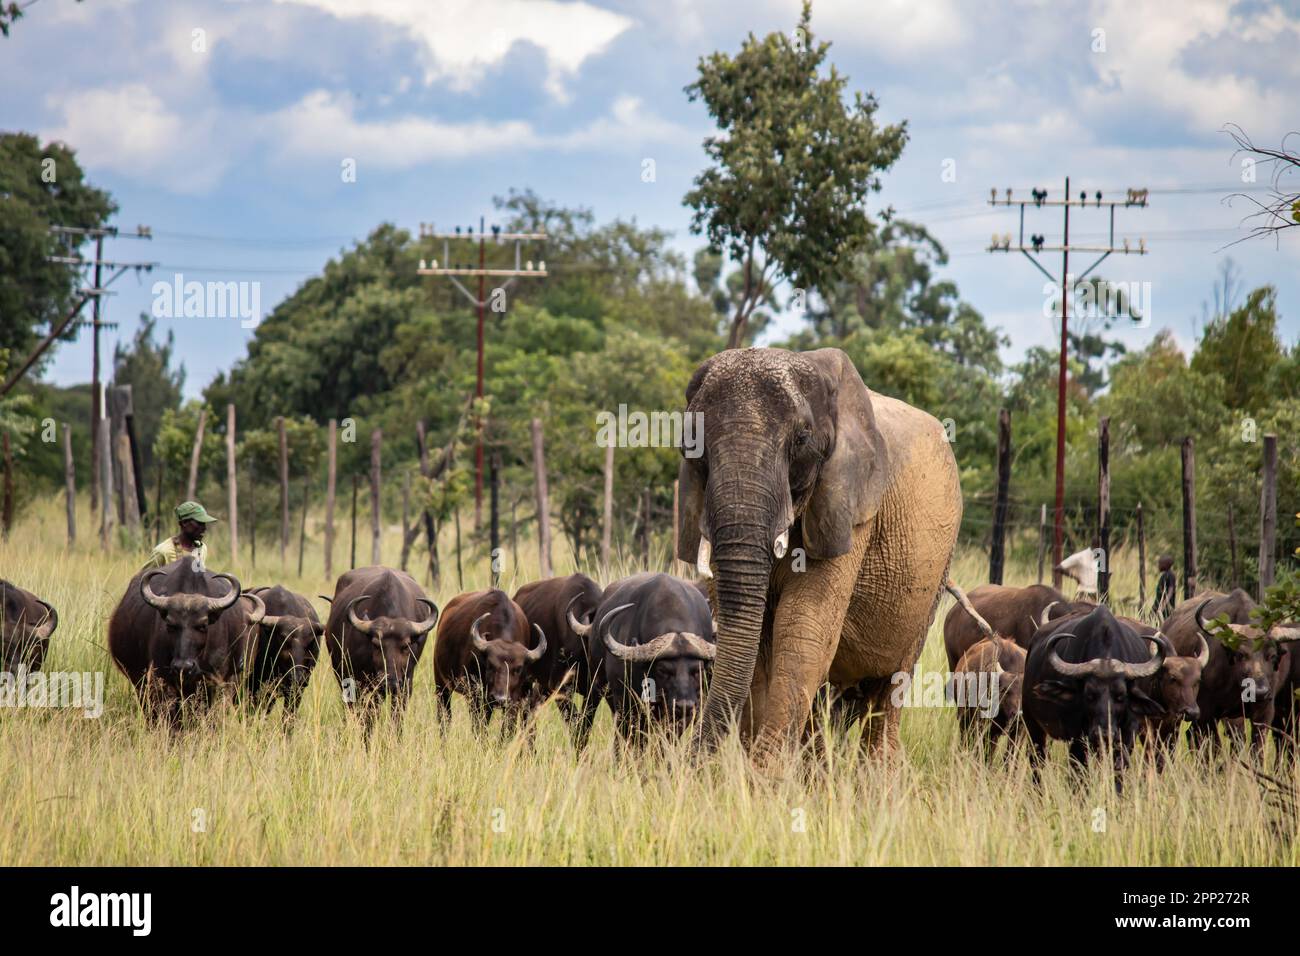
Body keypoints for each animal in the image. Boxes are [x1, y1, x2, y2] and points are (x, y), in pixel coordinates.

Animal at [325, 566, 438, 720]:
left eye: (406, 646)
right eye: (376, 645)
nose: (390, 682)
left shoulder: (405, 683)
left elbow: (397, 713)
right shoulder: (361, 681)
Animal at [434, 588, 546, 730]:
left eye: (518, 669)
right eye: (490, 665)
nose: (499, 699)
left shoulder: (514, 699)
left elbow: (508, 728)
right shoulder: (475, 695)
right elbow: (479, 726)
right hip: (441, 684)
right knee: (445, 716)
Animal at [571, 573, 716, 747]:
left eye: (697, 670)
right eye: (663, 670)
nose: (684, 705)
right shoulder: (627, 703)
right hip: (595, 682)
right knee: (587, 720)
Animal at [677, 347, 962, 764]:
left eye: (801, 439)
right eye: (691, 443)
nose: (685, 763)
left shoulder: (849, 506)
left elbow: (803, 629)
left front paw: (766, 774)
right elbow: (754, 637)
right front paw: (755, 771)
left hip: (936, 573)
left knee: (890, 687)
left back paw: (880, 771)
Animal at [1023, 605, 1168, 790]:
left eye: (1121, 696)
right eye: (1089, 695)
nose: (1104, 734)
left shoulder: (1127, 735)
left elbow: (1118, 772)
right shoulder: (1078, 738)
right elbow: (1078, 775)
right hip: (1033, 725)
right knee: (1037, 762)